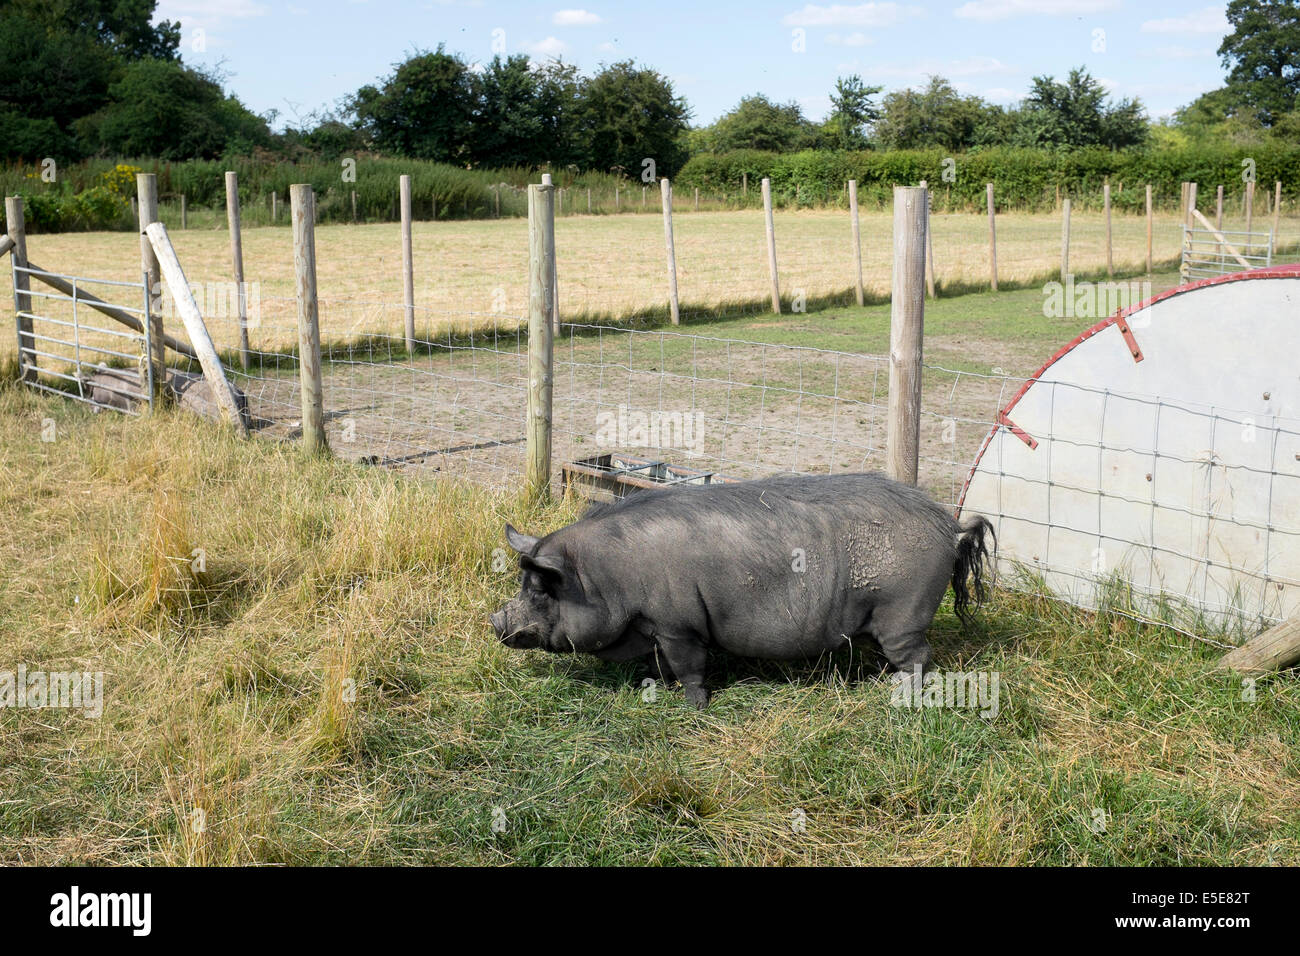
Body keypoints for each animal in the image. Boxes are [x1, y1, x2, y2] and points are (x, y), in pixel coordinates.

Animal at [490, 472, 995, 708]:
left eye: (541, 590)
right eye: (524, 585)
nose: (495, 620)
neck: (607, 578)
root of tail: (948, 525)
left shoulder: (678, 624)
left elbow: (690, 666)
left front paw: (694, 708)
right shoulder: (656, 627)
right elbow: (663, 665)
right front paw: (660, 688)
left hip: (903, 611)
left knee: (920, 657)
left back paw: (900, 697)